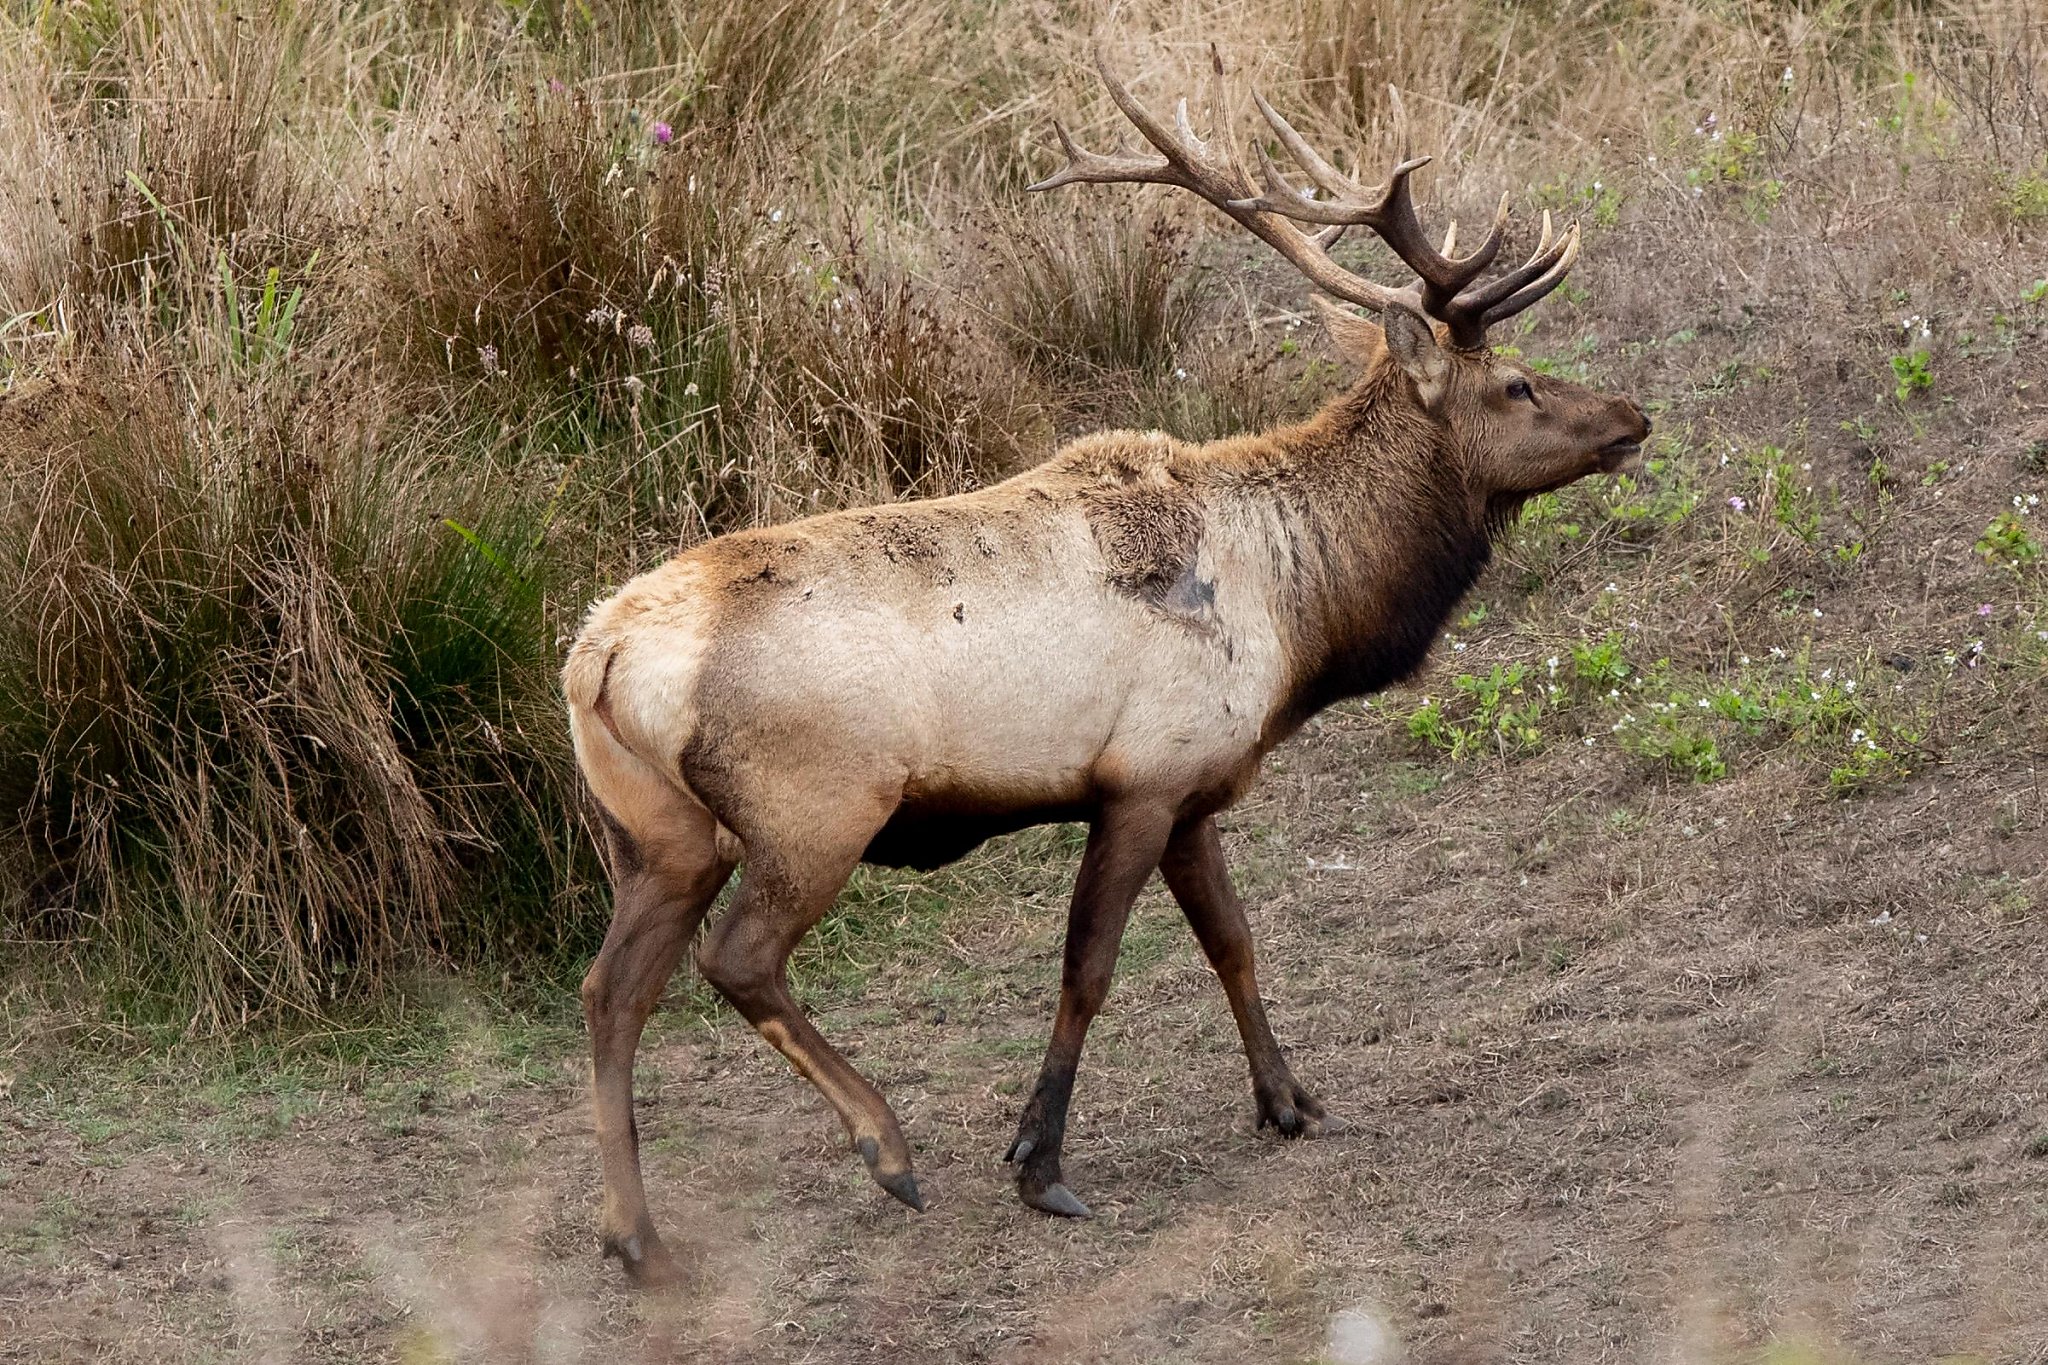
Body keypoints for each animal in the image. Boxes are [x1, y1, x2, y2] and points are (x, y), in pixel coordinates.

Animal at [562, 44, 1650, 1286]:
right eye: (1515, 384)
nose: (1631, 415)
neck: (1303, 614)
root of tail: (593, 657)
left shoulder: (1194, 785)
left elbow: (1232, 941)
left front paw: (1290, 1101)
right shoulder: (1137, 777)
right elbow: (1089, 968)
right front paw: (1038, 1163)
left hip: (654, 835)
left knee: (608, 992)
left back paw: (635, 1233)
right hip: (812, 808)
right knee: (735, 963)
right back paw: (886, 1148)